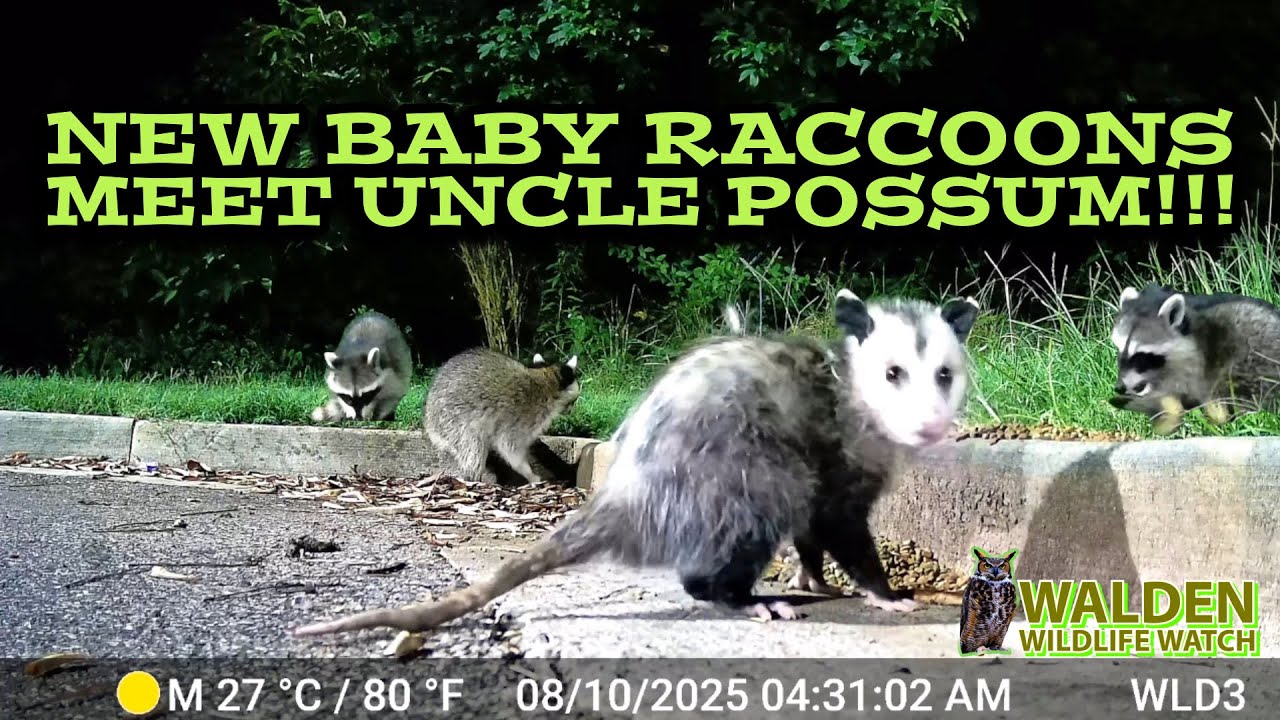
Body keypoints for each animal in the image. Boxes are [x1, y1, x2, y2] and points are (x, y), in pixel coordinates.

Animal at [421, 348, 580, 486]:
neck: (546, 380)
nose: (572, 409)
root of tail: (429, 419)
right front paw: (529, 473)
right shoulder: (521, 416)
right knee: (474, 448)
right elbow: (509, 448)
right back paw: (472, 479)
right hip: (453, 420)